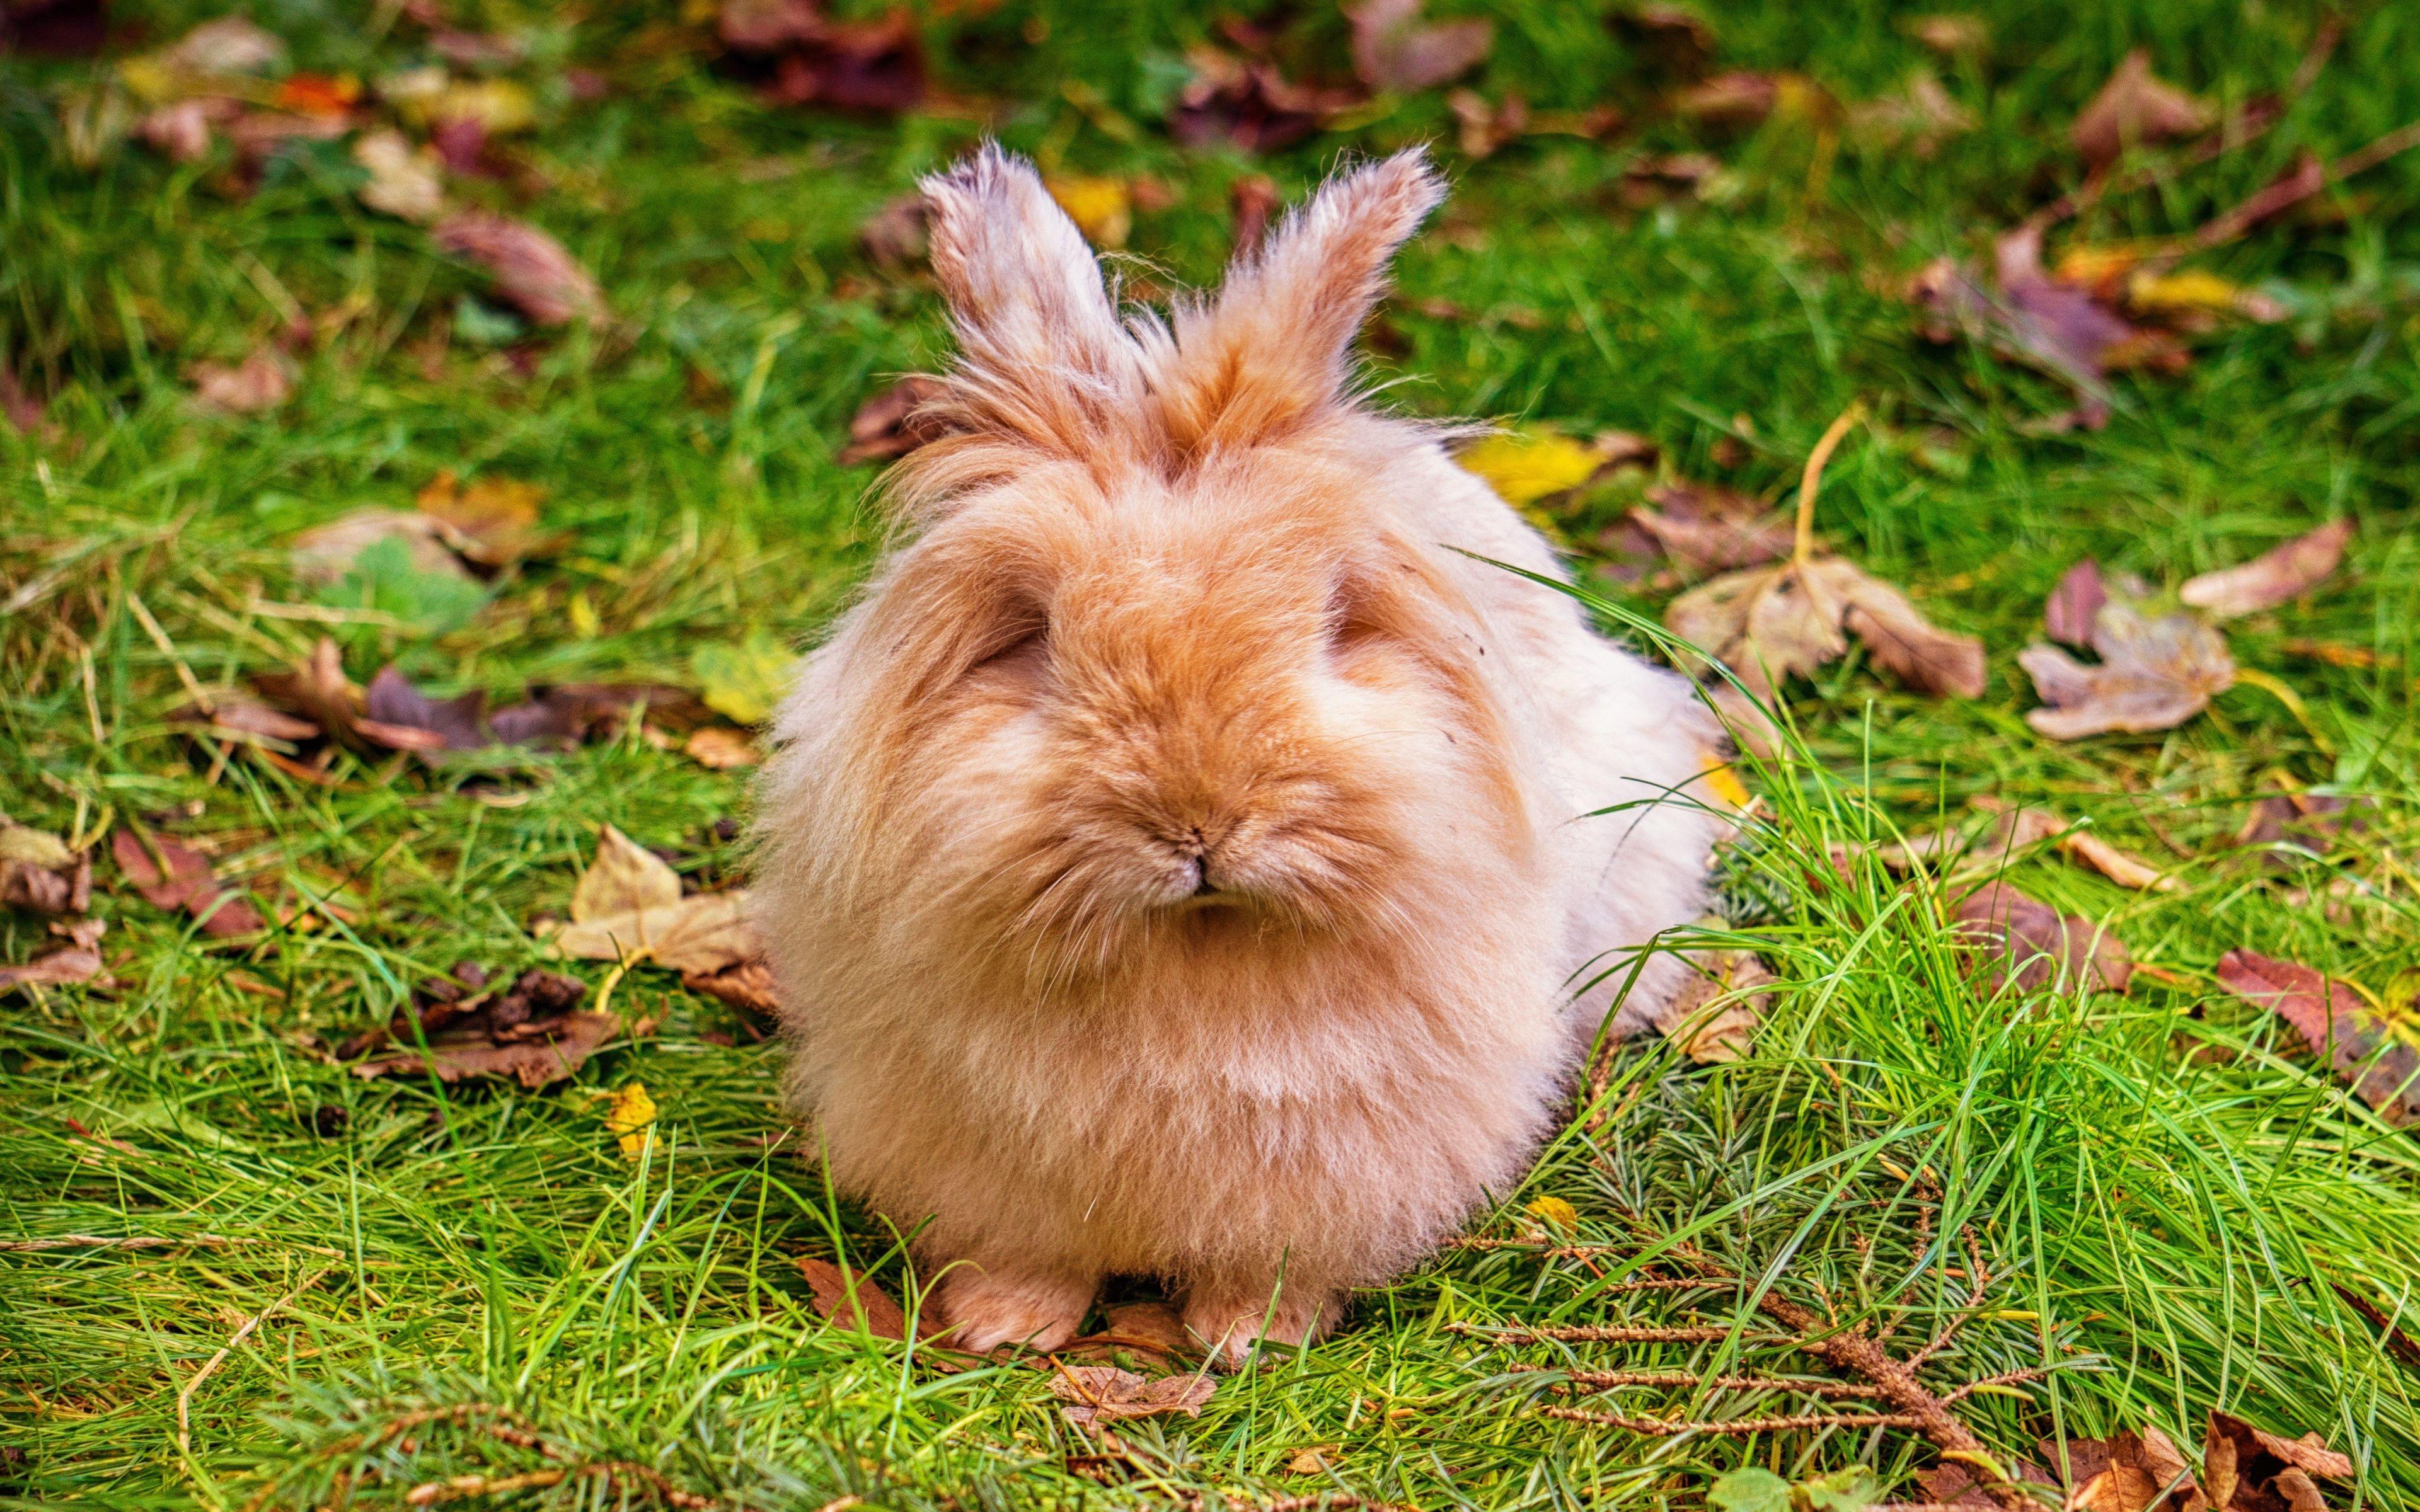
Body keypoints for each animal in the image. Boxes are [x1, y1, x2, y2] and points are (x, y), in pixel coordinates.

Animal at [753, 144, 1728, 1365]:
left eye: (1332, 621)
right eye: (1035, 637)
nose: (1199, 823)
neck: (1196, 959)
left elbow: (1270, 1257)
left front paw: (1248, 1340)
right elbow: (1028, 1249)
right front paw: (1006, 1328)